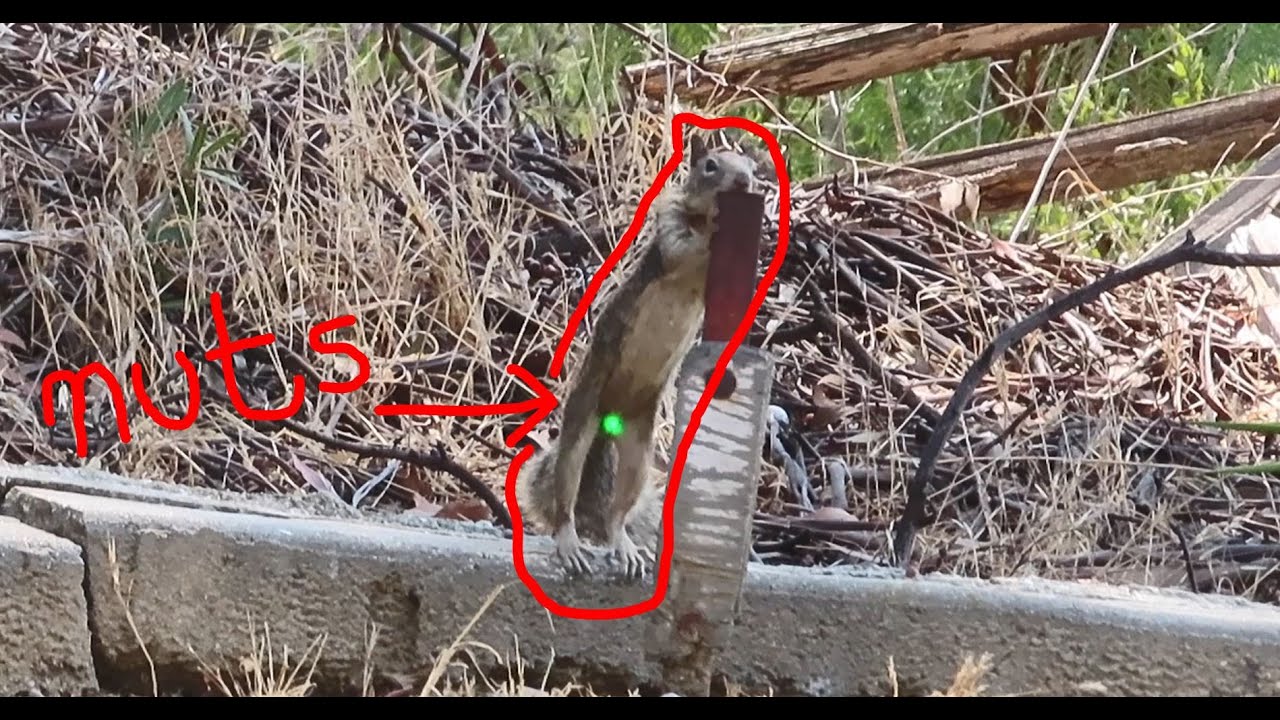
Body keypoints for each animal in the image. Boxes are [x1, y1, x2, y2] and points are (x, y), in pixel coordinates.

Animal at [514, 133, 758, 579]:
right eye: (710, 165)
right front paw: (714, 228)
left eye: (752, 166)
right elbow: (684, 247)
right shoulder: (669, 232)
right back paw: (569, 542)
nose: (744, 182)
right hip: (581, 421)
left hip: (638, 456)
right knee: (565, 498)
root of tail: (610, 417)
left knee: (617, 513)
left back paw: (624, 546)